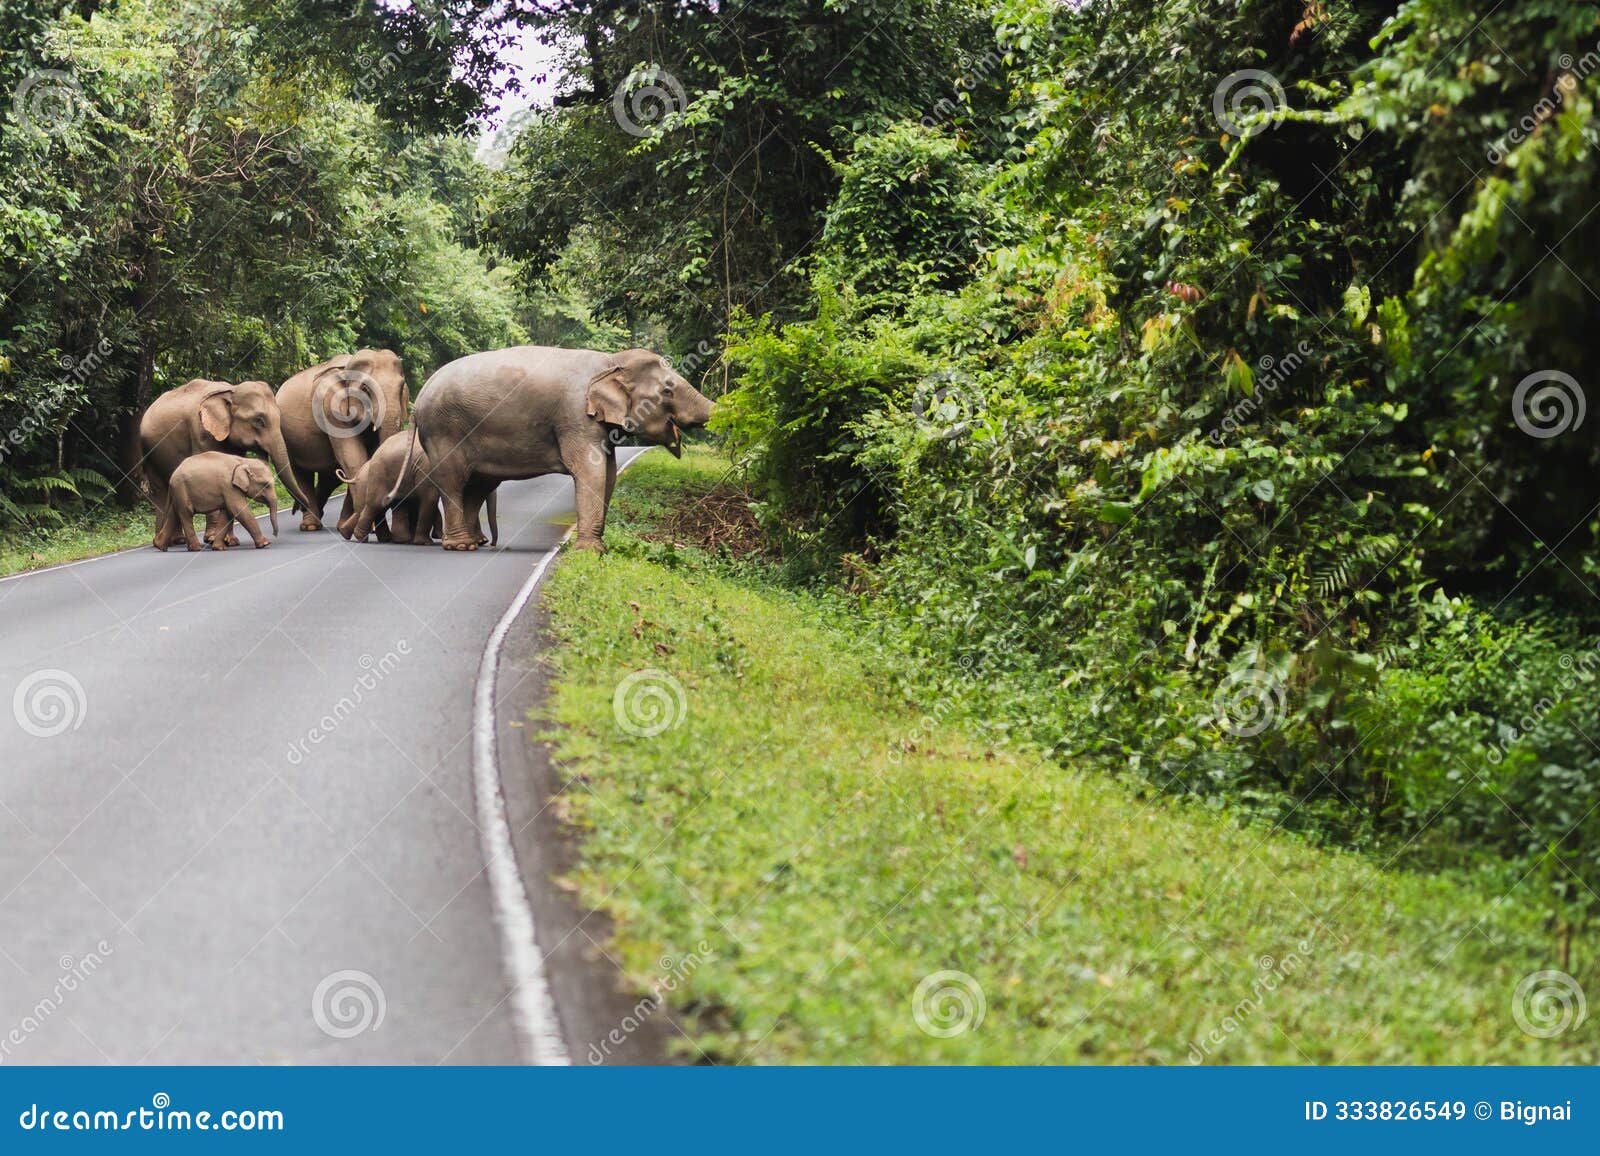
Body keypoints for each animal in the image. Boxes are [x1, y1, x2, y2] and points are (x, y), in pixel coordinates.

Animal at [138, 378, 311, 549]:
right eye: (258, 421)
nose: (300, 507)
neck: (231, 390)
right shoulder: (201, 431)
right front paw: (212, 539)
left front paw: (230, 541)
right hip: (150, 453)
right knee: (160, 492)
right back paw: (171, 542)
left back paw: (175, 541)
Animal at [277, 349, 408, 531]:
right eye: (365, 389)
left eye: (402, 387)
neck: (347, 368)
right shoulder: (330, 407)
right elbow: (353, 457)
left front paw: (346, 526)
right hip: (288, 440)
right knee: (301, 475)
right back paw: (310, 526)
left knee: (329, 478)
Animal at [336, 430, 498, 545]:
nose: (492, 544)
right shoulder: (427, 469)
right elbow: (430, 498)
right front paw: (426, 542)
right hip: (379, 475)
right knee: (374, 505)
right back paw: (361, 537)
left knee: (392, 505)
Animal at [397, 346, 714, 551]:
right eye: (667, 391)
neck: (610, 361)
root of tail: (420, 397)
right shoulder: (576, 418)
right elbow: (590, 470)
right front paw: (589, 551)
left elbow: (609, 473)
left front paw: (597, 548)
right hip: (445, 430)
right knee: (453, 480)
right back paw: (461, 546)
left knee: (473, 487)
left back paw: (472, 543)